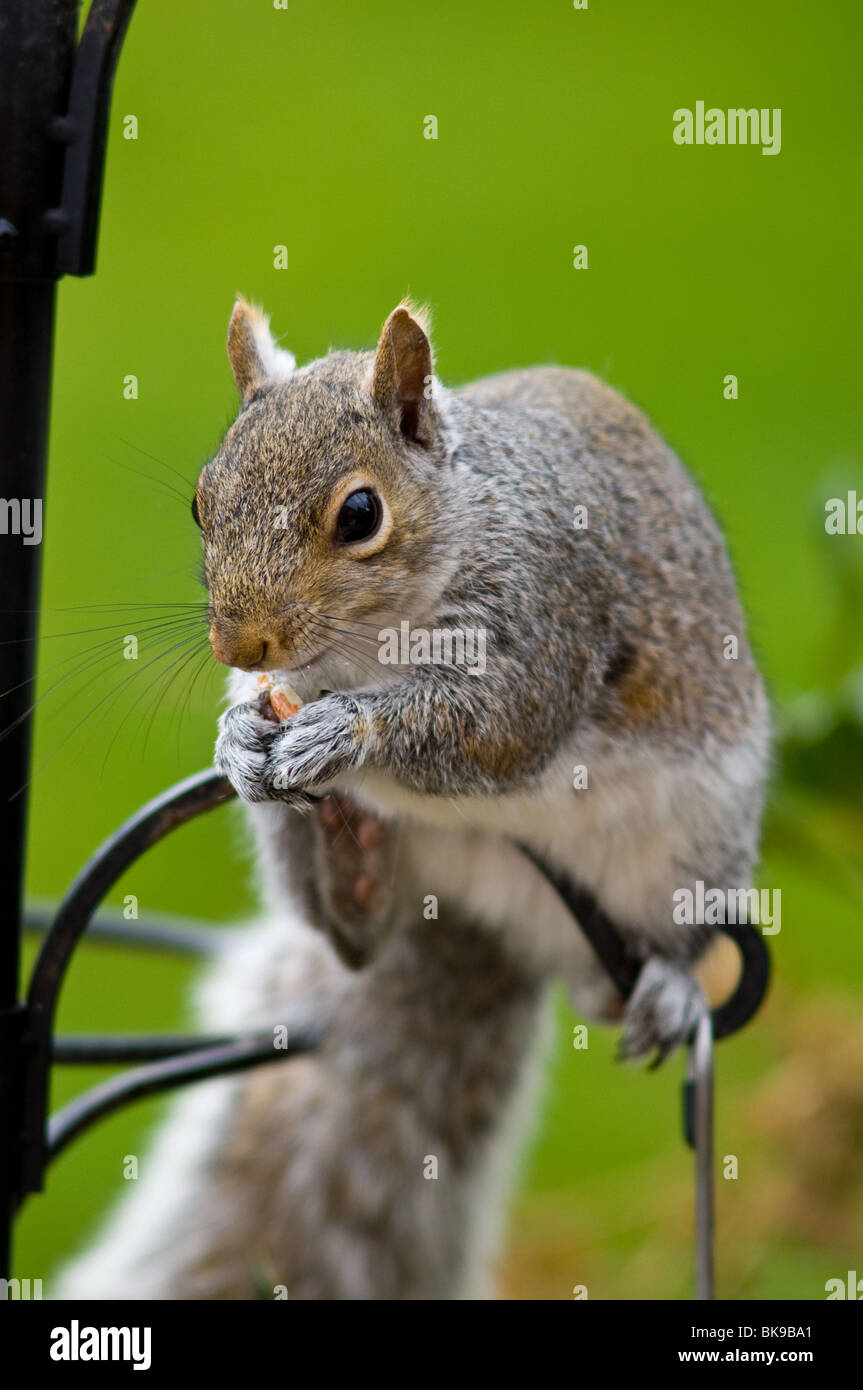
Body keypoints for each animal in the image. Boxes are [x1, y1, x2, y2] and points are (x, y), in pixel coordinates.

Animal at [55, 300, 768, 1300]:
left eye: (360, 514)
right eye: (202, 501)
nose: (241, 645)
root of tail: (485, 919)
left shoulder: (542, 622)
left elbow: (495, 728)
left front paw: (345, 732)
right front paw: (238, 731)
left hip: (684, 855)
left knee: (633, 969)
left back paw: (662, 986)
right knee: (357, 936)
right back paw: (350, 852)